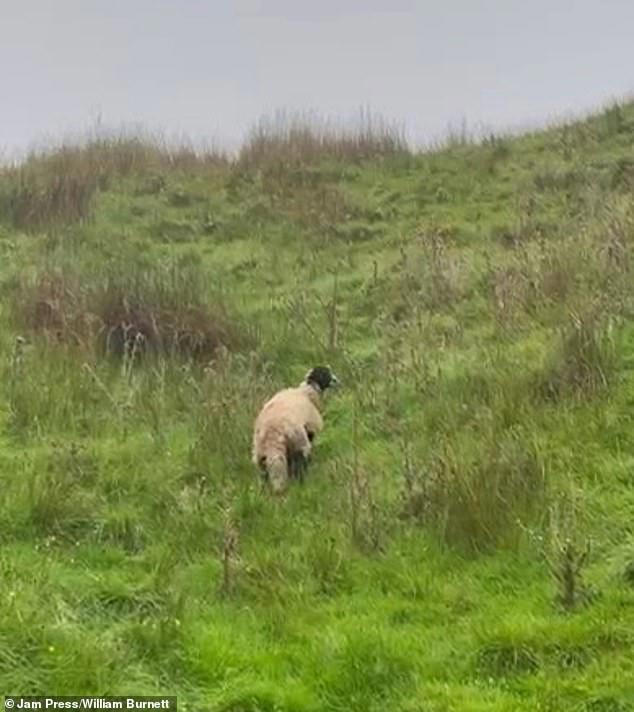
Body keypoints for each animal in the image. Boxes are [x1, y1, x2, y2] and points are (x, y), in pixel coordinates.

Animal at [252, 366, 339, 494]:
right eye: (324, 373)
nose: (336, 381)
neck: (306, 391)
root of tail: (272, 433)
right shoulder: (310, 429)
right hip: (298, 442)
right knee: (300, 464)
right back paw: (301, 483)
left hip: (261, 453)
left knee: (265, 473)